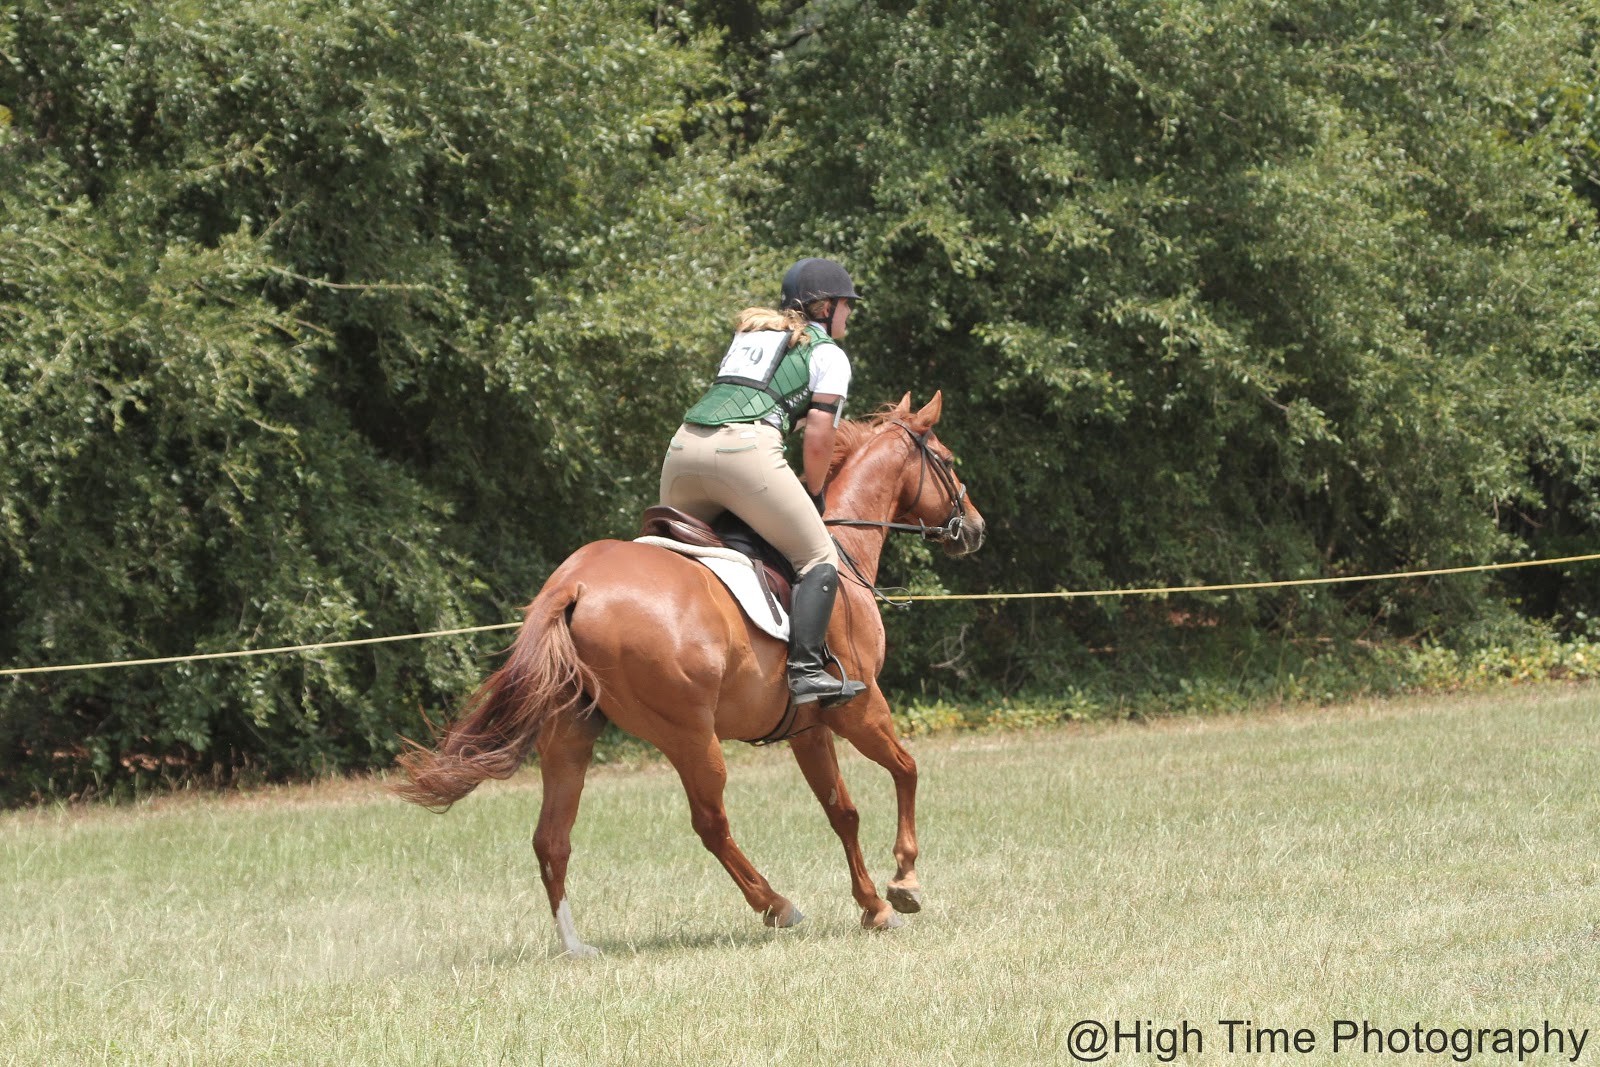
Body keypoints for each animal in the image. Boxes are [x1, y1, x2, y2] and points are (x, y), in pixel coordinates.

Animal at [393, 392, 986, 956]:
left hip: (570, 732)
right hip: (690, 735)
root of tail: (573, 584)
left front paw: (872, 906)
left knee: (551, 838)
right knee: (710, 822)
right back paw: (777, 905)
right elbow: (907, 771)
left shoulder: (809, 727)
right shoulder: (860, 709)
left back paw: (575, 946)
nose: (976, 528)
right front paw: (903, 884)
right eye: (949, 461)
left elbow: (843, 811)